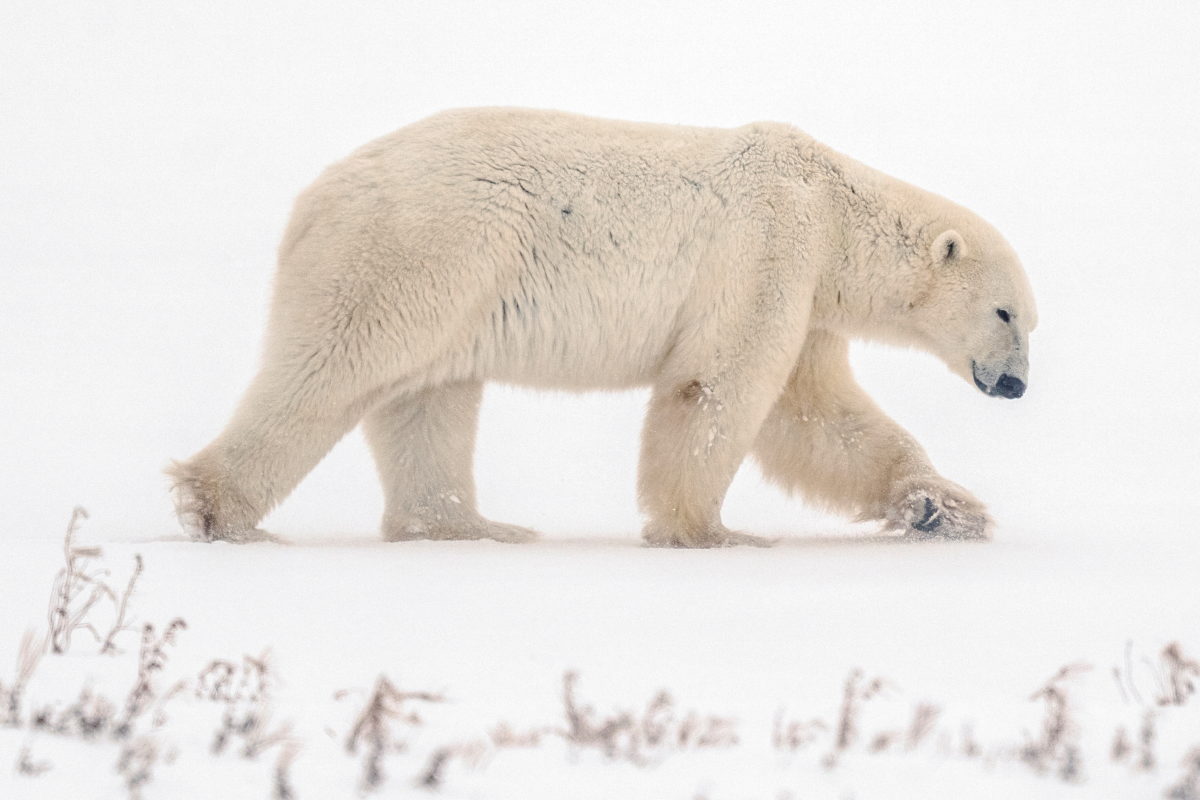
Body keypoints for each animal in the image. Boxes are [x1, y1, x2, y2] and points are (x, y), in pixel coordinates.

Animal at [169, 107, 1036, 547]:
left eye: (1034, 320)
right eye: (1005, 312)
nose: (1017, 385)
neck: (830, 205)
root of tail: (314, 198)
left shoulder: (808, 294)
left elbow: (816, 414)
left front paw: (943, 508)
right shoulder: (766, 248)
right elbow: (716, 387)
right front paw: (709, 531)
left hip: (454, 283)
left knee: (429, 399)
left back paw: (471, 525)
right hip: (423, 249)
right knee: (335, 369)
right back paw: (217, 511)